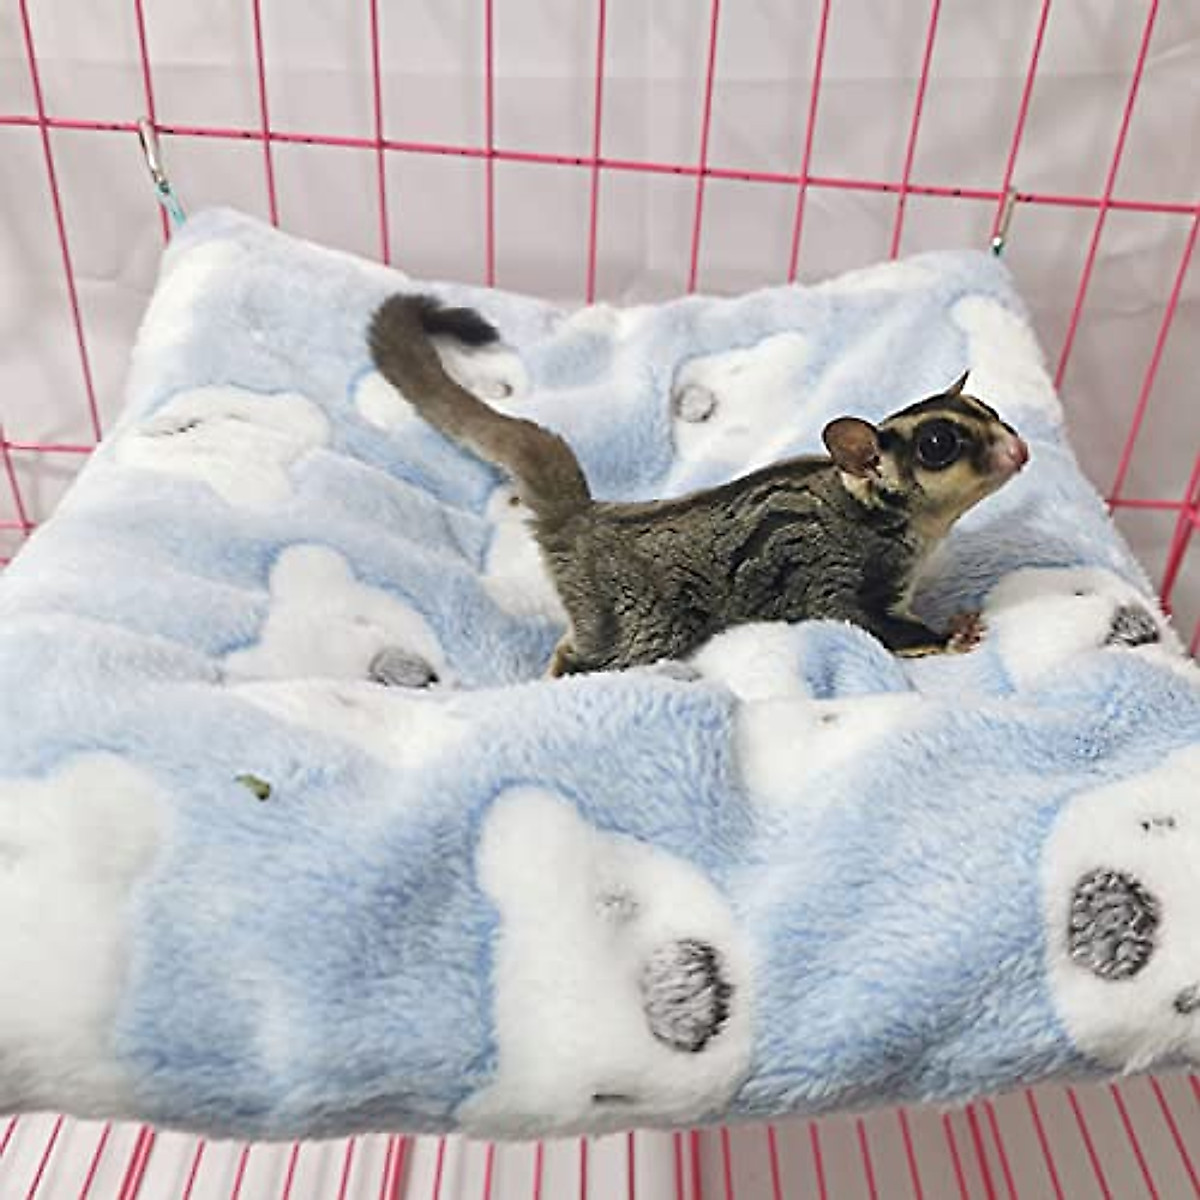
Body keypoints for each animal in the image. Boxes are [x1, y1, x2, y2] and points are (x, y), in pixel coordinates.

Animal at [368, 294, 1029, 675]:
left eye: (992, 413)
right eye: (939, 444)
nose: (1019, 449)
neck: (900, 524)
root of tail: (585, 517)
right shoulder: (852, 577)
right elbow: (872, 625)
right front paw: (952, 635)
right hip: (640, 622)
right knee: (588, 653)